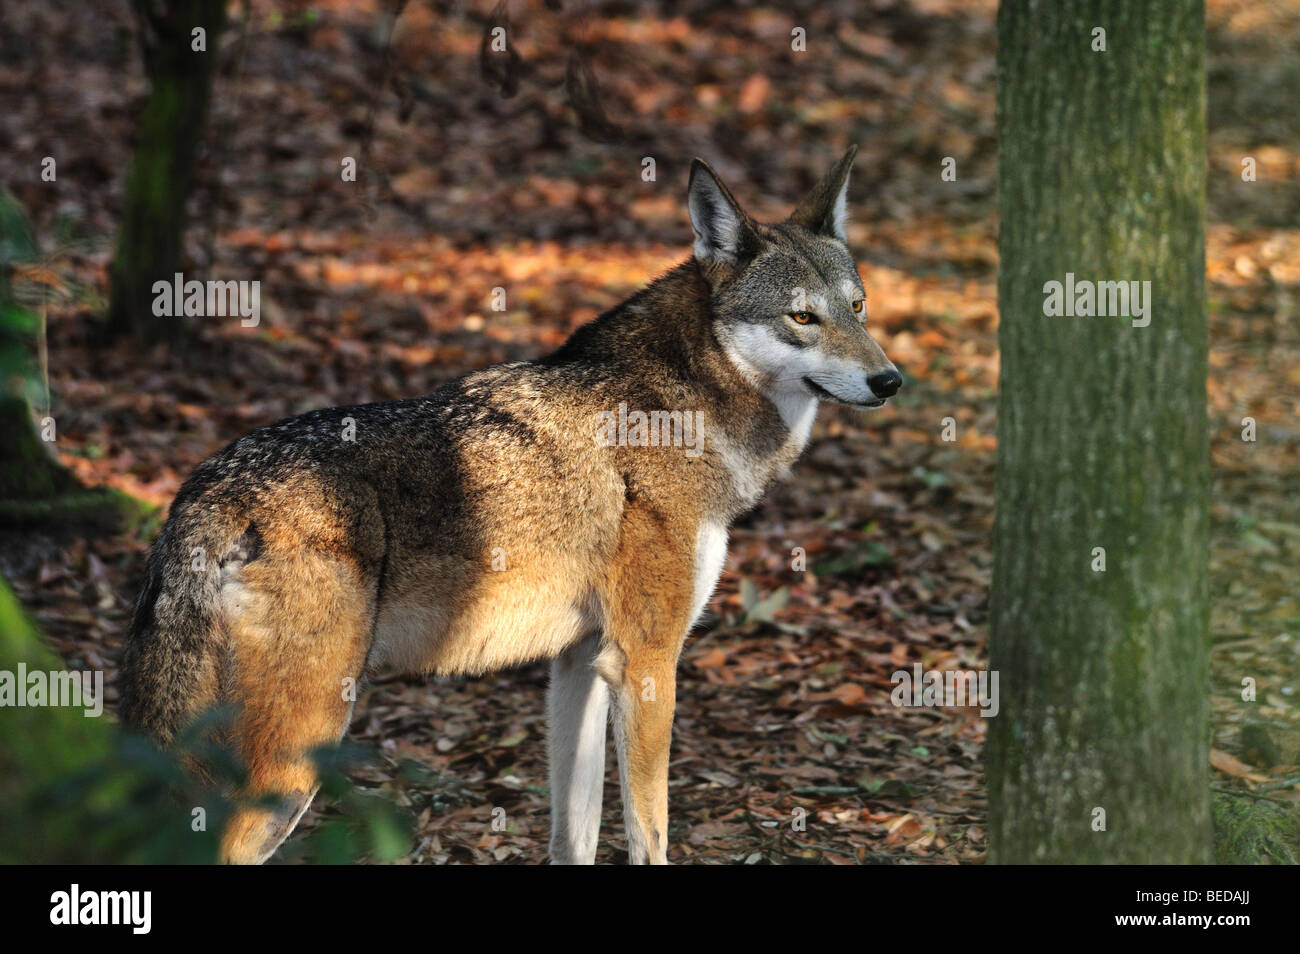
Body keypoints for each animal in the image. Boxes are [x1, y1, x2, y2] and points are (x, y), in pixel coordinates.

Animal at [119, 146, 901, 864]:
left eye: (857, 307)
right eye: (802, 317)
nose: (890, 380)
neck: (684, 407)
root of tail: (206, 493)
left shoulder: (581, 663)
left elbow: (574, 835)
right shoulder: (646, 662)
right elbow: (648, 836)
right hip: (301, 746)